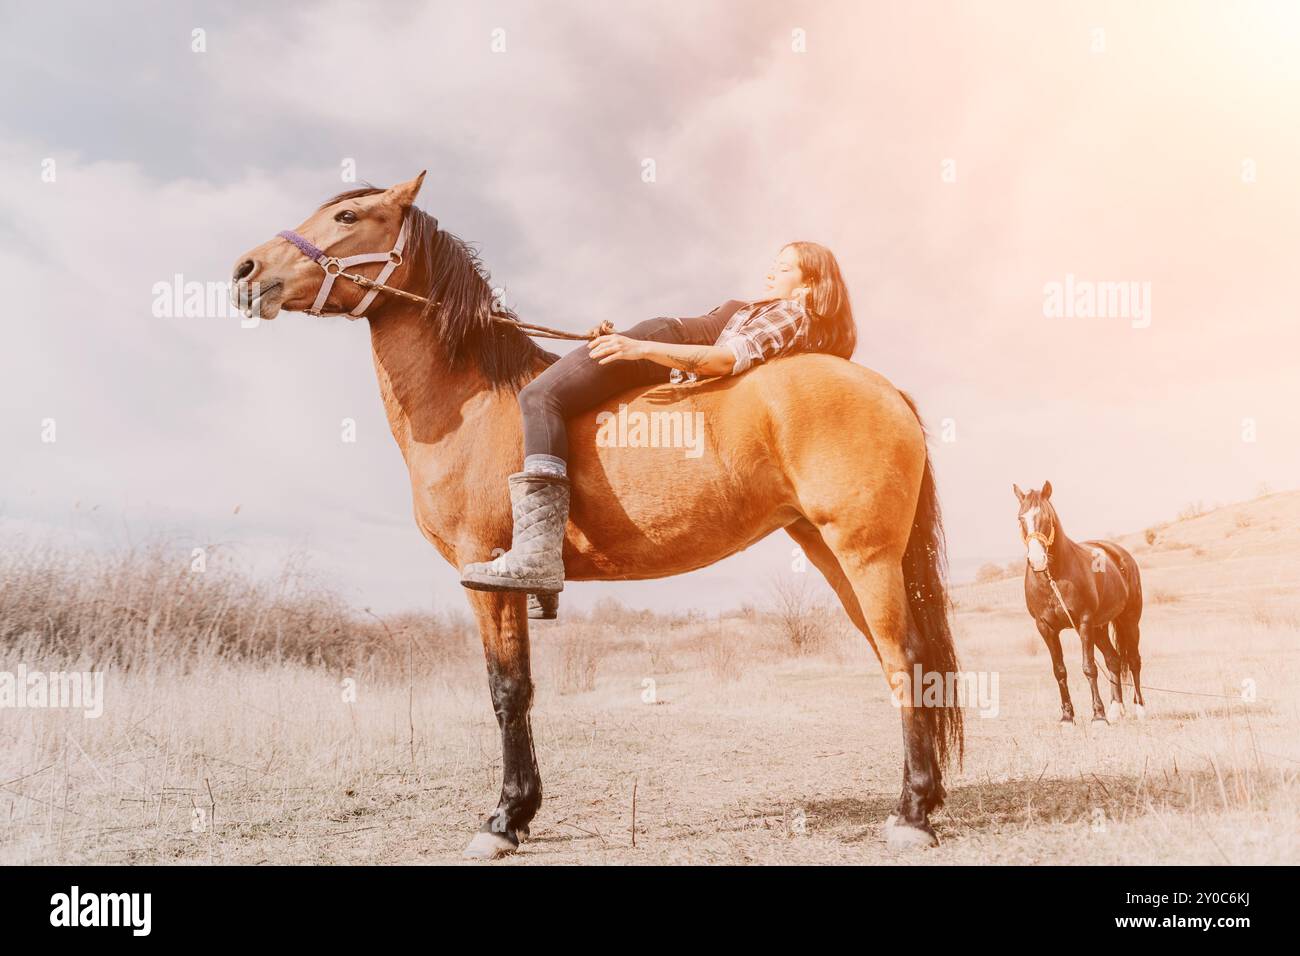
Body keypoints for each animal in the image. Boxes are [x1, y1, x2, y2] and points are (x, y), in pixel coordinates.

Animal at [229, 171, 963, 857]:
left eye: (348, 216)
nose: (246, 271)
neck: (472, 404)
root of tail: (883, 388)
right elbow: (520, 688)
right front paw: (520, 811)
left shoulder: (486, 575)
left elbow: (507, 690)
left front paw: (504, 819)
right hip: (834, 551)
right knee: (897, 660)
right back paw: (922, 801)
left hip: (864, 553)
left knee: (904, 658)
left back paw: (911, 815)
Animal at [1014, 481, 1145, 725]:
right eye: (1020, 518)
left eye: (1046, 517)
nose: (1037, 560)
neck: (1053, 578)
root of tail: (1120, 553)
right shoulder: (1045, 628)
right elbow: (1059, 670)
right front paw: (1067, 717)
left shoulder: (1083, 623)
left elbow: (1089, 668)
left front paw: (1098, 716)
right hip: (1100, 628)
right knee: (1113, 660)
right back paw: (1116, 709)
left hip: (1129, 620)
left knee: (1133, 660)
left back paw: (1139, 709)